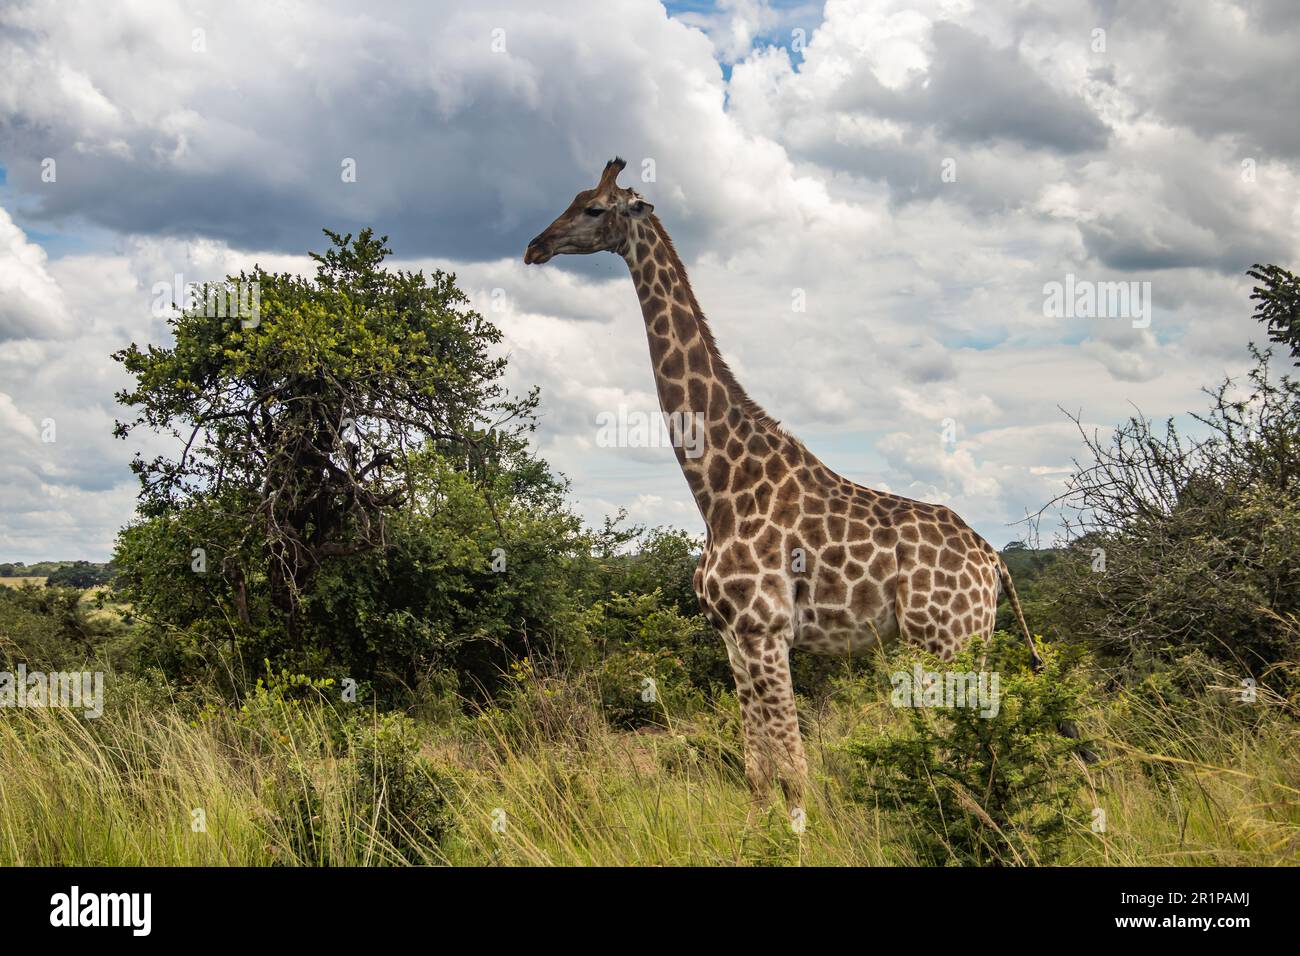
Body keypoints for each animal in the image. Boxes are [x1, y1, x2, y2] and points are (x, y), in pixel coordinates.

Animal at [524, 158, 1040, 813]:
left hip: (946, 641)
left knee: (967, 748)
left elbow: (795, 770)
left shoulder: (768, 631)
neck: (718, 489)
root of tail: (994, 560)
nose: (535, 246)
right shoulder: (732, 637)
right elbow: (757, 771)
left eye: (593, 208)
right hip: (963, 641)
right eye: (572, 199)